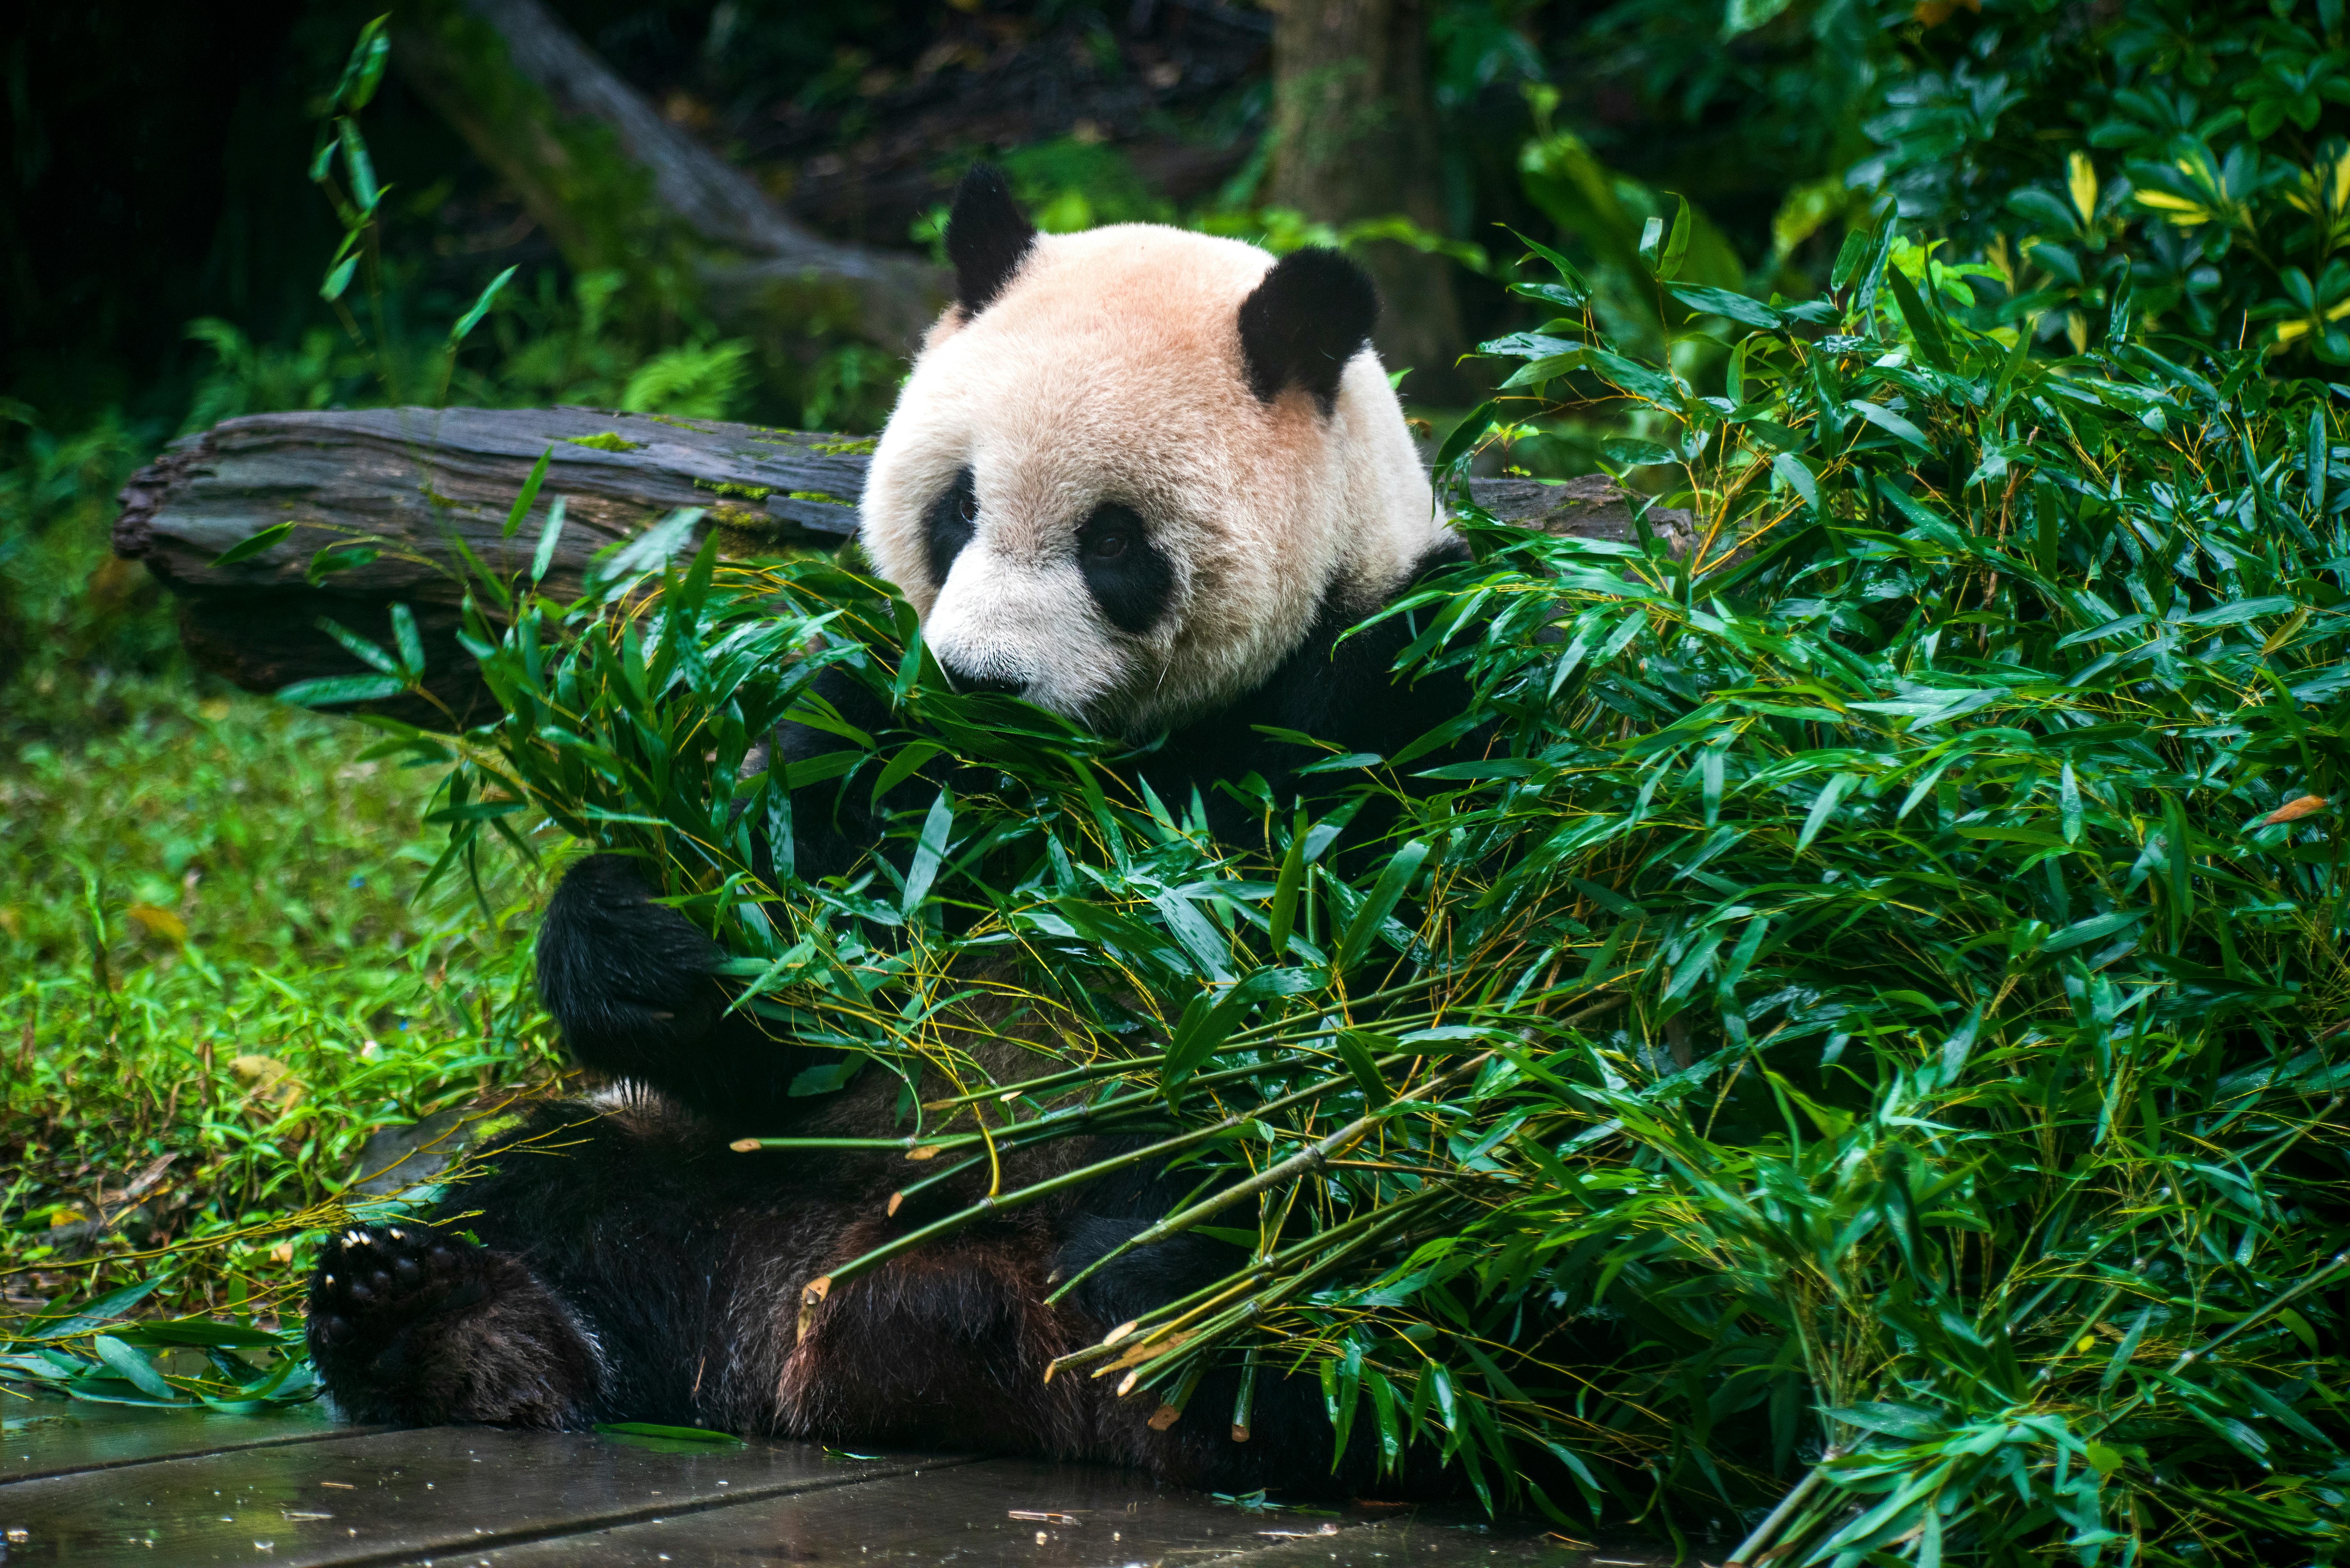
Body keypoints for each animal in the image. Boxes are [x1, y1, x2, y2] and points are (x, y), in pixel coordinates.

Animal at [304, 166, 1475, 1494]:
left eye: (1114, 539)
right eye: (957, 506)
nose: (980, 682)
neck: (1065, 781)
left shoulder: (1395, 686)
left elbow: (1395, 1005)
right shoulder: (876, 742)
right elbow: (772, 1001)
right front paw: (647, 942)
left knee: (1381, 1290)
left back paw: (1187, 1305)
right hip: (731, 1173)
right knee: (547, 1187)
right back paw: (442, 1326)